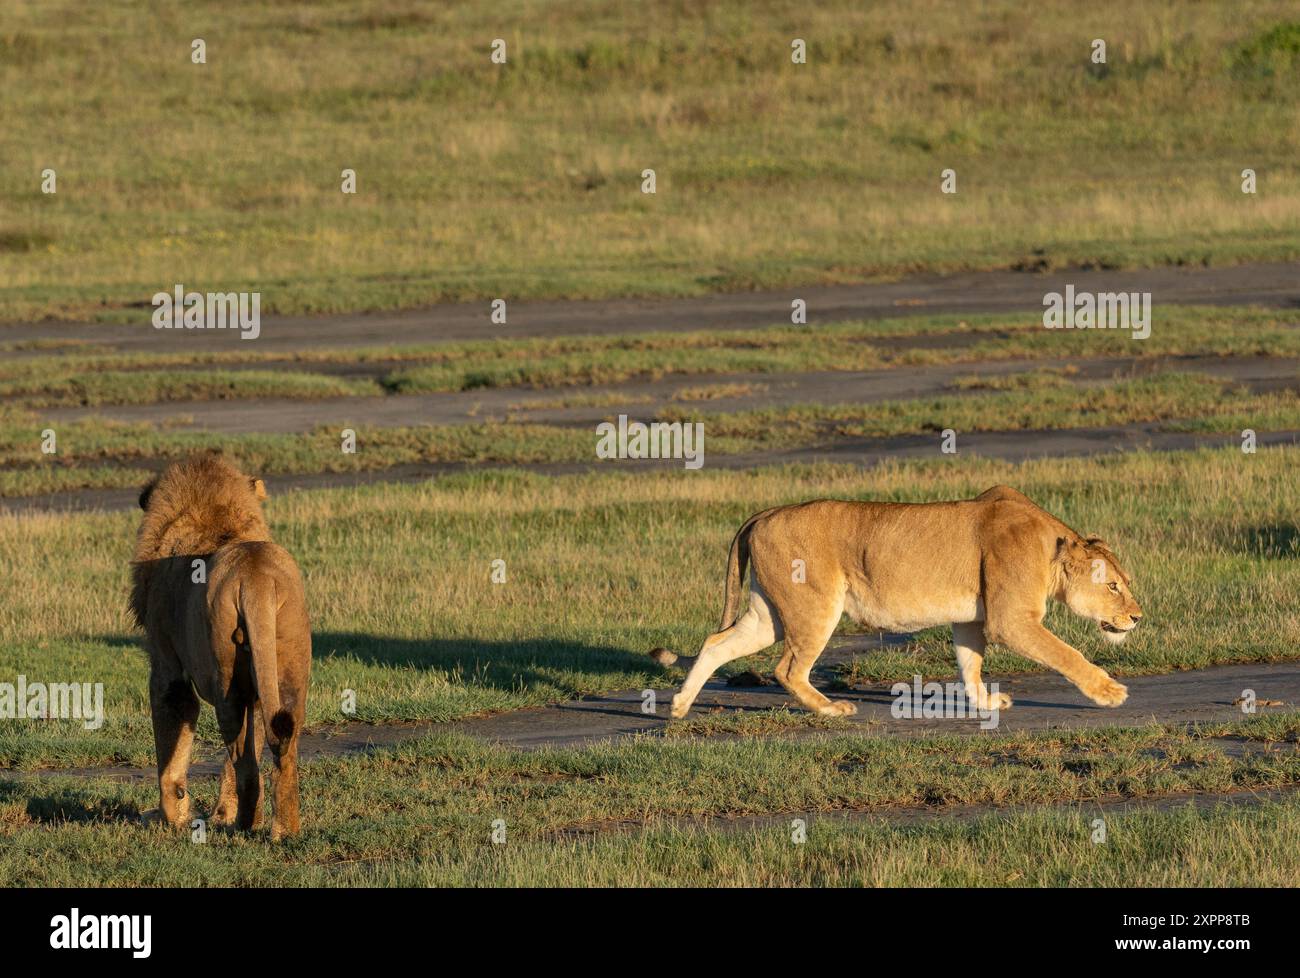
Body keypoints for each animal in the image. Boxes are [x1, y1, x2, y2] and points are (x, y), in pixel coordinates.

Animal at [130, 451, 311, 840]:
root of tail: (256, 578)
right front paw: (217, 814)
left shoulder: (167, 668)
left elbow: (170, 751)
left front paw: (172, 814)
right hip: (287, 671)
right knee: (279, 748)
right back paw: (283, 829)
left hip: (227, 681)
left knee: (245, 762)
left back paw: (245, 825)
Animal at [652, 485, 1142, 719]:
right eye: (1114, 587)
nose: (1137, 617)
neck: (1051, 548)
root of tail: (767, 512)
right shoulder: (1011, 620)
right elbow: (1067, 654)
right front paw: (1110, 692)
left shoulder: (972, 617)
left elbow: (970, 663)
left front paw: (984, 704)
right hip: (815, 606)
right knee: (787, 669)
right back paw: (831, 709)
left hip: (768, 613)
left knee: (717, 642)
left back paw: (678, 707)